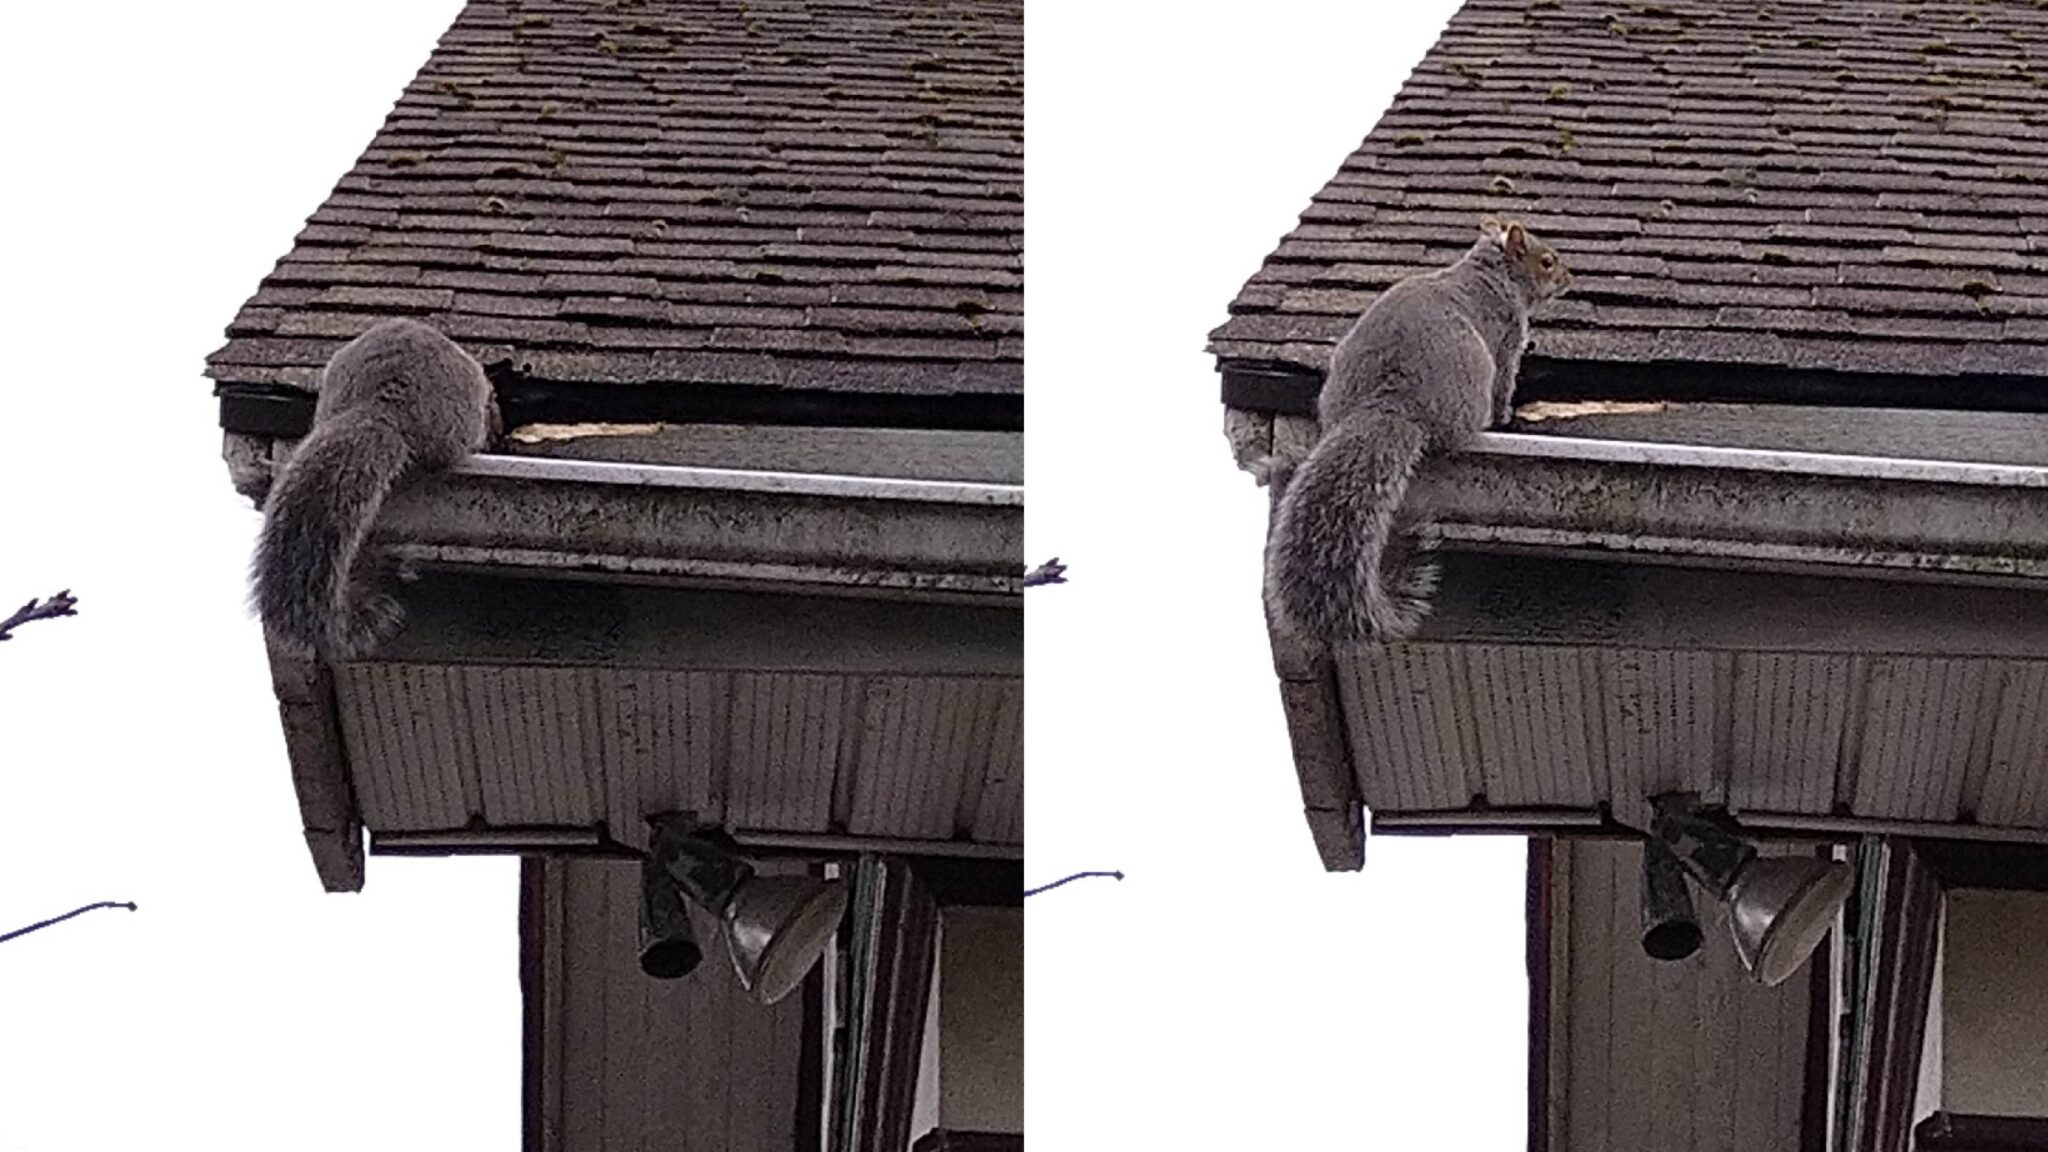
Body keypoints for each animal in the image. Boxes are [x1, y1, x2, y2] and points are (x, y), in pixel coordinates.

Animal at [1264, 217, 1572, 650]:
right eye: (1547, 261)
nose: (1569, 278)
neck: (1493, 271)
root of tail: (1392, 404)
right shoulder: (1507, 337)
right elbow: (1506, 384)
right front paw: (1507, 414)